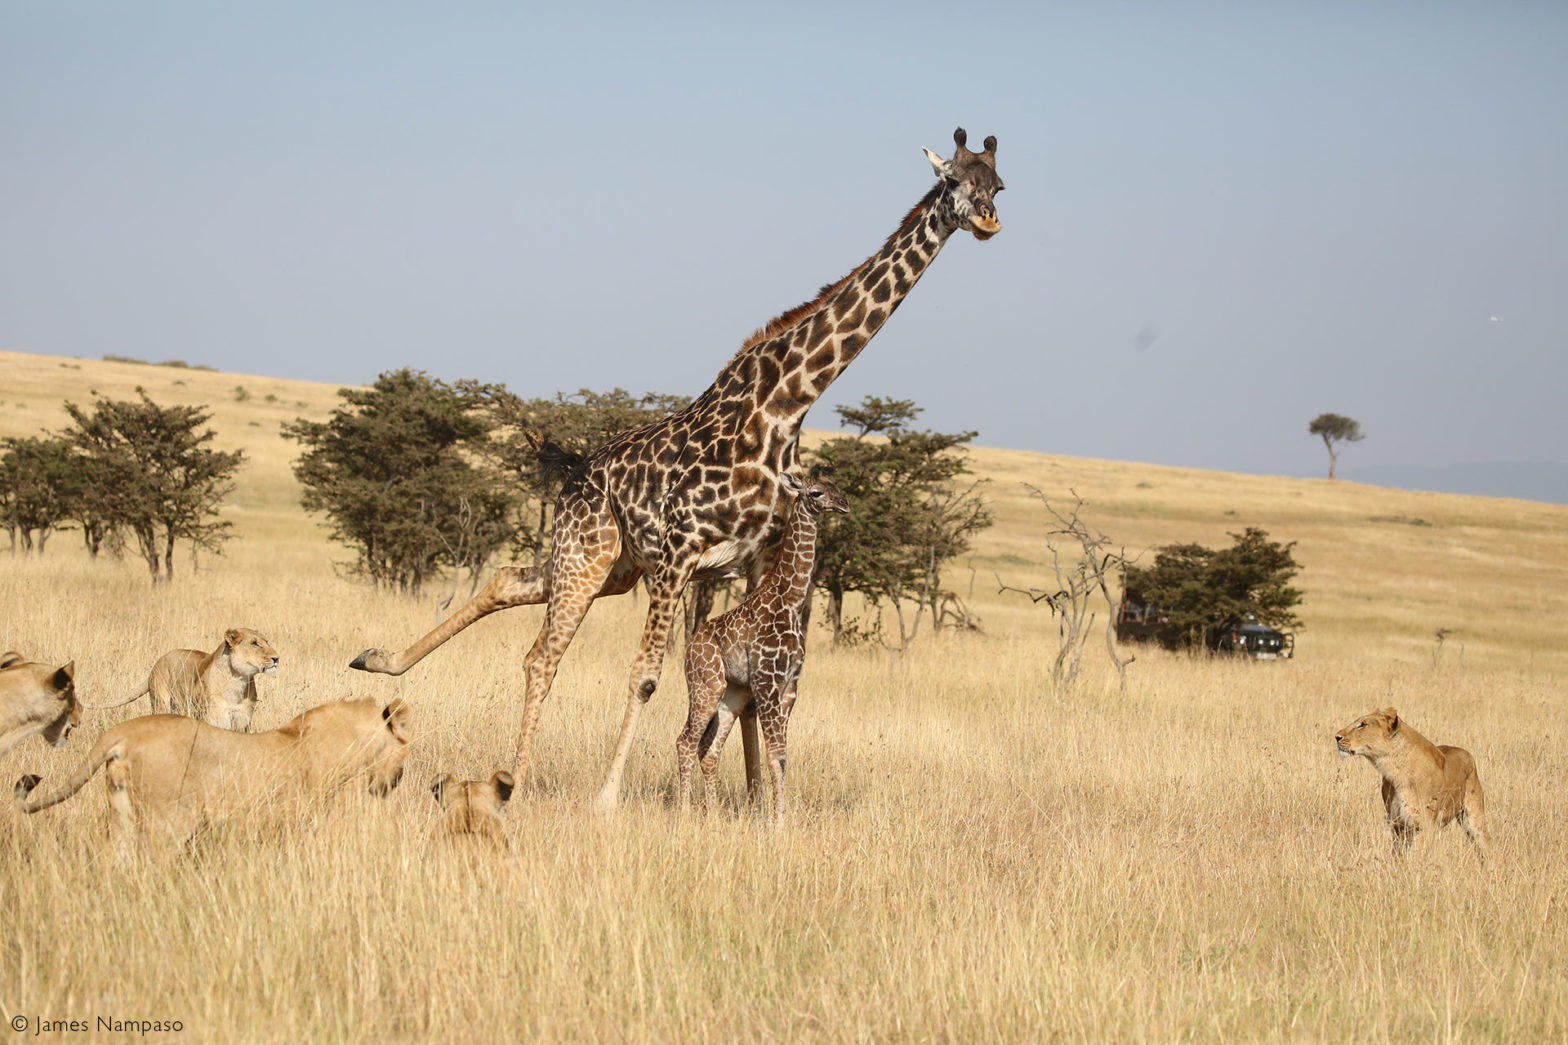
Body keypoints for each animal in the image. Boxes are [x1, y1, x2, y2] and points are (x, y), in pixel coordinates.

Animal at [84, 627, 278, 731]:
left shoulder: (243, 721)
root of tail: (156, 664)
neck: (238, 680)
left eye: (267, 641)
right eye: (254, 643)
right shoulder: (215, 719)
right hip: (161, 702)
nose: (276, 658)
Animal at [675, 469, 848, 826]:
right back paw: (684, 813)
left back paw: (714, 816)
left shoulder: (790, 686)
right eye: (815, 493)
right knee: (685, 741)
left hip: (732, 693)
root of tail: (690, 647)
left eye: (836, 486)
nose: (845, 503)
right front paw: (777, 822)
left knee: (710, 750)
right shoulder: (767, 681)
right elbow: (774, 755)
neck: (792, 601)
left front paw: (781, 817)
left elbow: (782, 756)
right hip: (706, 685)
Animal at [1334, 707, 1489, 860]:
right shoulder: (1397, 823)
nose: (1337, 737)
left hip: (1474, 820)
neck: (1395, 772)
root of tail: (1466, 753)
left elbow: (1416, 856)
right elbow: (1398, 855)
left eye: (1362, 724)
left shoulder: (1425, 825)